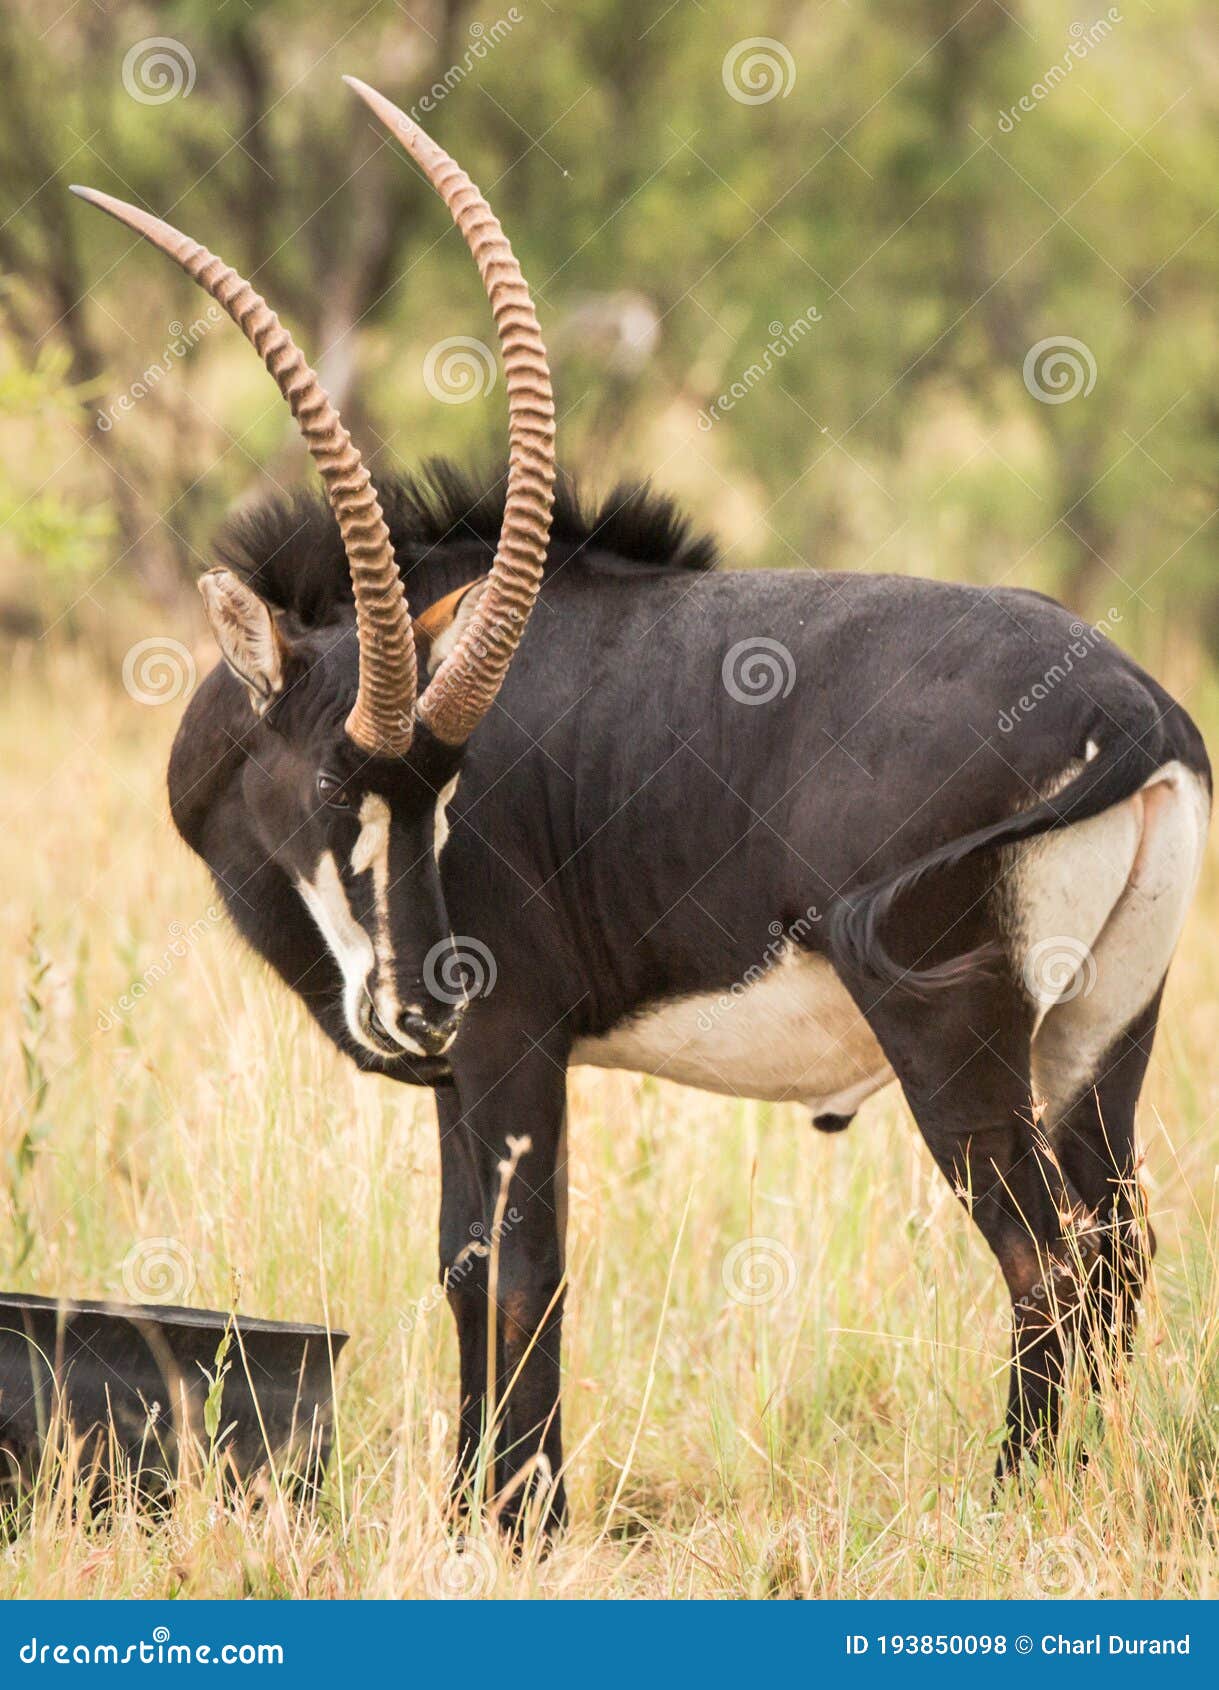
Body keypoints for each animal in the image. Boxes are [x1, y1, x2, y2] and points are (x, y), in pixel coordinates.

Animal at [74, 77, 1209, 1531]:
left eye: (440, 787)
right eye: (339, 777)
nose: (414, 1001)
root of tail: (1133, 708)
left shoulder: (512, 1036)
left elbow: (519, 1264)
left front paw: (523, 1518)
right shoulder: (460, 1067)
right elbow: (459, 1259)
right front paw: (470, 1501)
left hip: (950, 1035)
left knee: (1046, 1260)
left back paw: (1005, 1494)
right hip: (1098, 1039)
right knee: (1116, 1252)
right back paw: (1084, 1478)